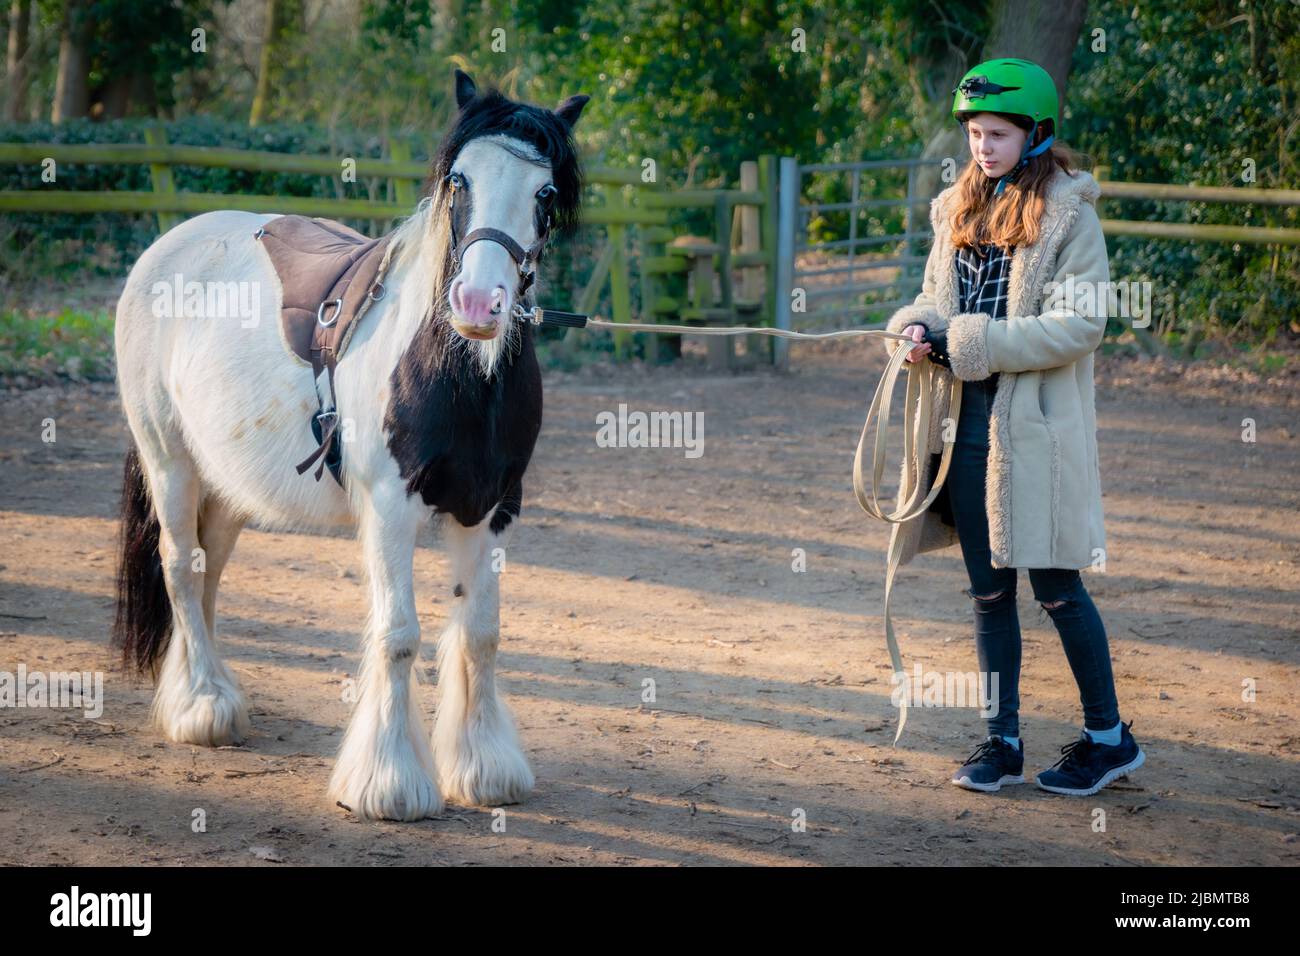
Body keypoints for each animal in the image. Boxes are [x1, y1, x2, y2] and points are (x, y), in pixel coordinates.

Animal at [110, 69, 589, 821]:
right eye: (459, 179)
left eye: (544, 195)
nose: (478, 304)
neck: (458, 371)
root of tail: (169, 247)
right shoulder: (391, 508)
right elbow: (398, 636)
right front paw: (389, 783)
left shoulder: (490, 509)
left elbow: (480, 632)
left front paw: (483, 767)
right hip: (170, 462)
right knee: (181, 569)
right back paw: (204, 707)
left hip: (226, 486)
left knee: (207, 571)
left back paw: (199, 692)